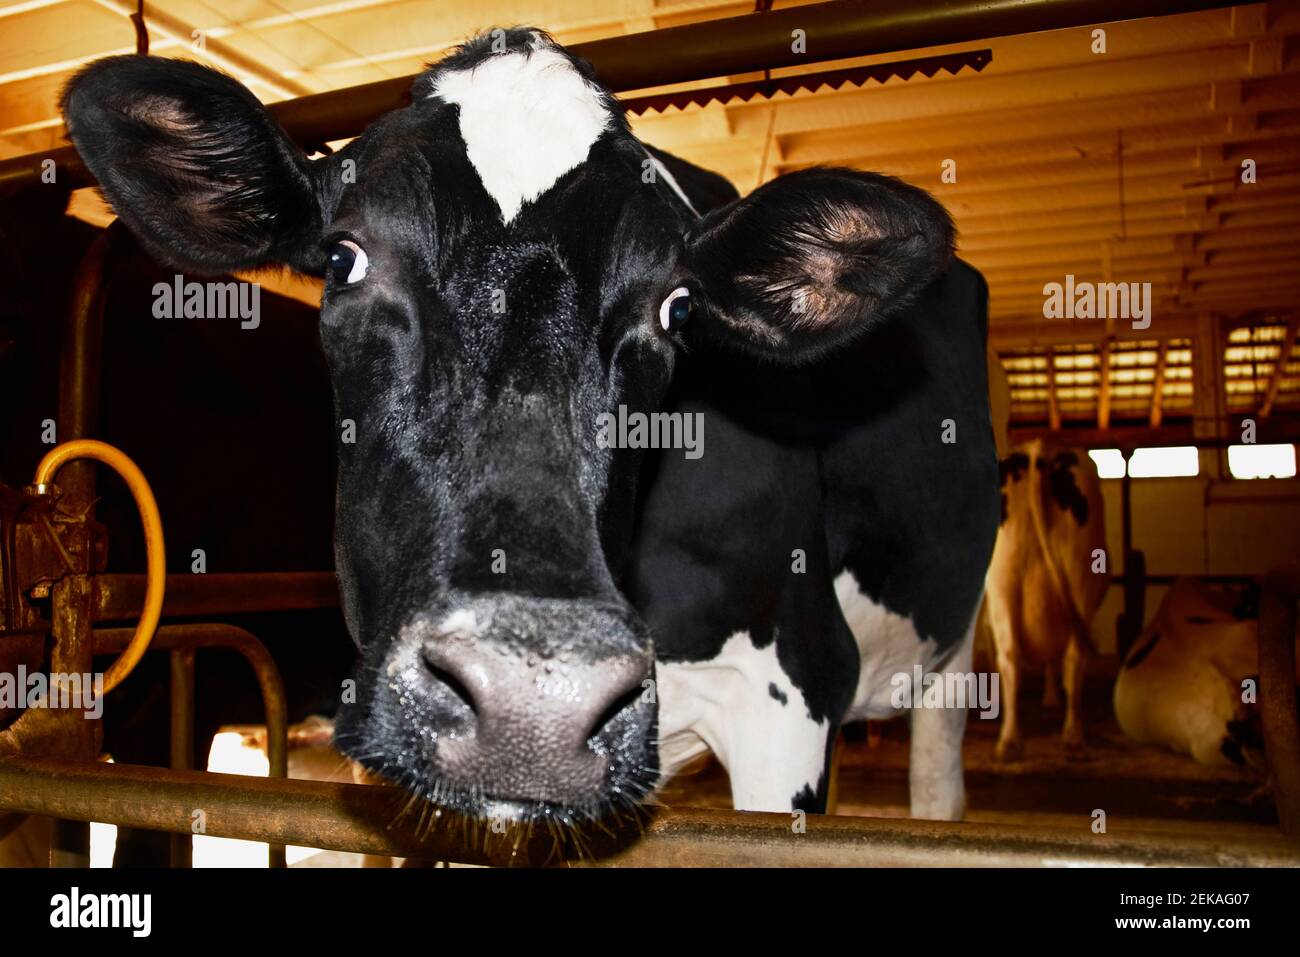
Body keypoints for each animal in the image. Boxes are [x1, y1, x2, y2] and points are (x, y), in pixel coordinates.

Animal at [985, 439, 1107, 761]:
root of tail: (1039, 449)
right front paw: (1051, 698)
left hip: (1006, 577)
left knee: (1014, 655)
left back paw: (1015, 739)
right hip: (1078, 578)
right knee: (1070, 657)